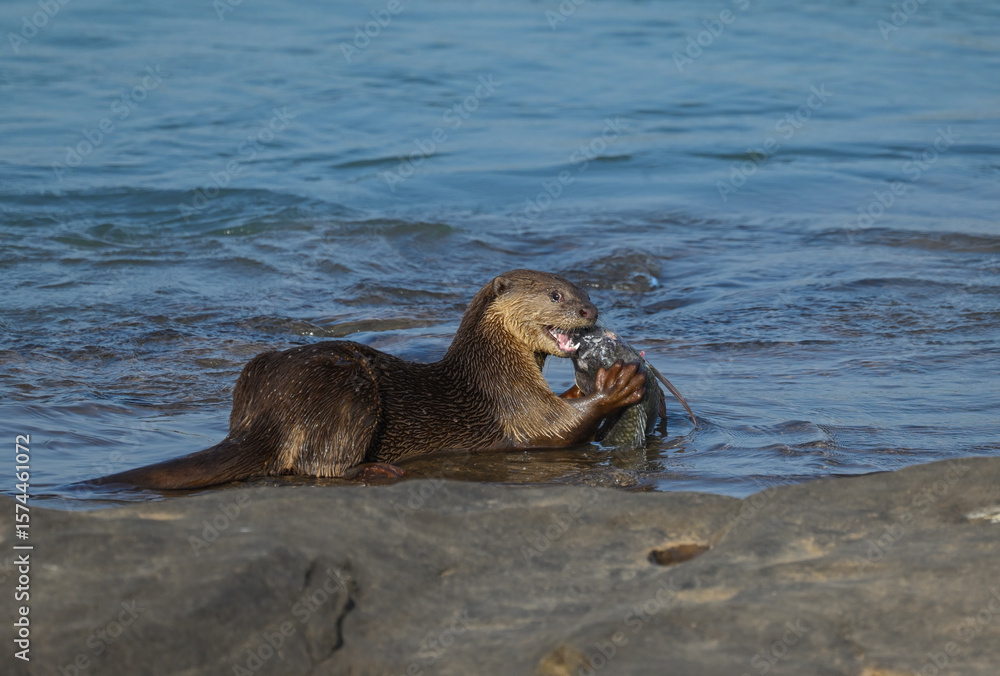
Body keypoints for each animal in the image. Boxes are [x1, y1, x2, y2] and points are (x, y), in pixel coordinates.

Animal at [91, 269, 646, 489]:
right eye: (556, 296)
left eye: (584, 290)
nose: (590, 310)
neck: (494, 363)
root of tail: (264, 413)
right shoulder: (511, 402)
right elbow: (553, 428)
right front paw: (617, 384)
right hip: (349, 394)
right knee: (317, 464)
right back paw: (376, 469)